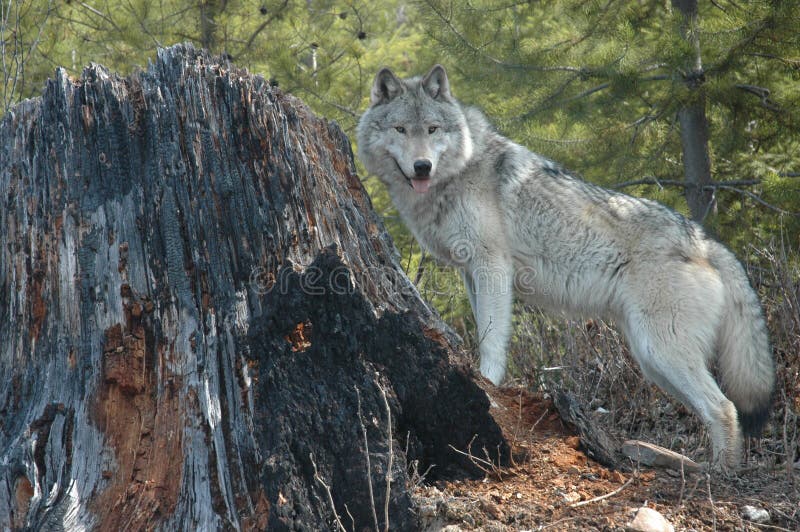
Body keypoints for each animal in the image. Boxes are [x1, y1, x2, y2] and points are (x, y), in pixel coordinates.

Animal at [356, 64, 774, 469]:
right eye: (400, 129)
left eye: (432, 129)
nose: (422, 166)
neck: (459, 171)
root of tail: (706, 241)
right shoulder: (470, 272)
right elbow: (482, 328)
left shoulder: (493, 265)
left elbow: (492, 340)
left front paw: (487, 382)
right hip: (652, 359)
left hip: (662, 351)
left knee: (724, 407)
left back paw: (718, 475)